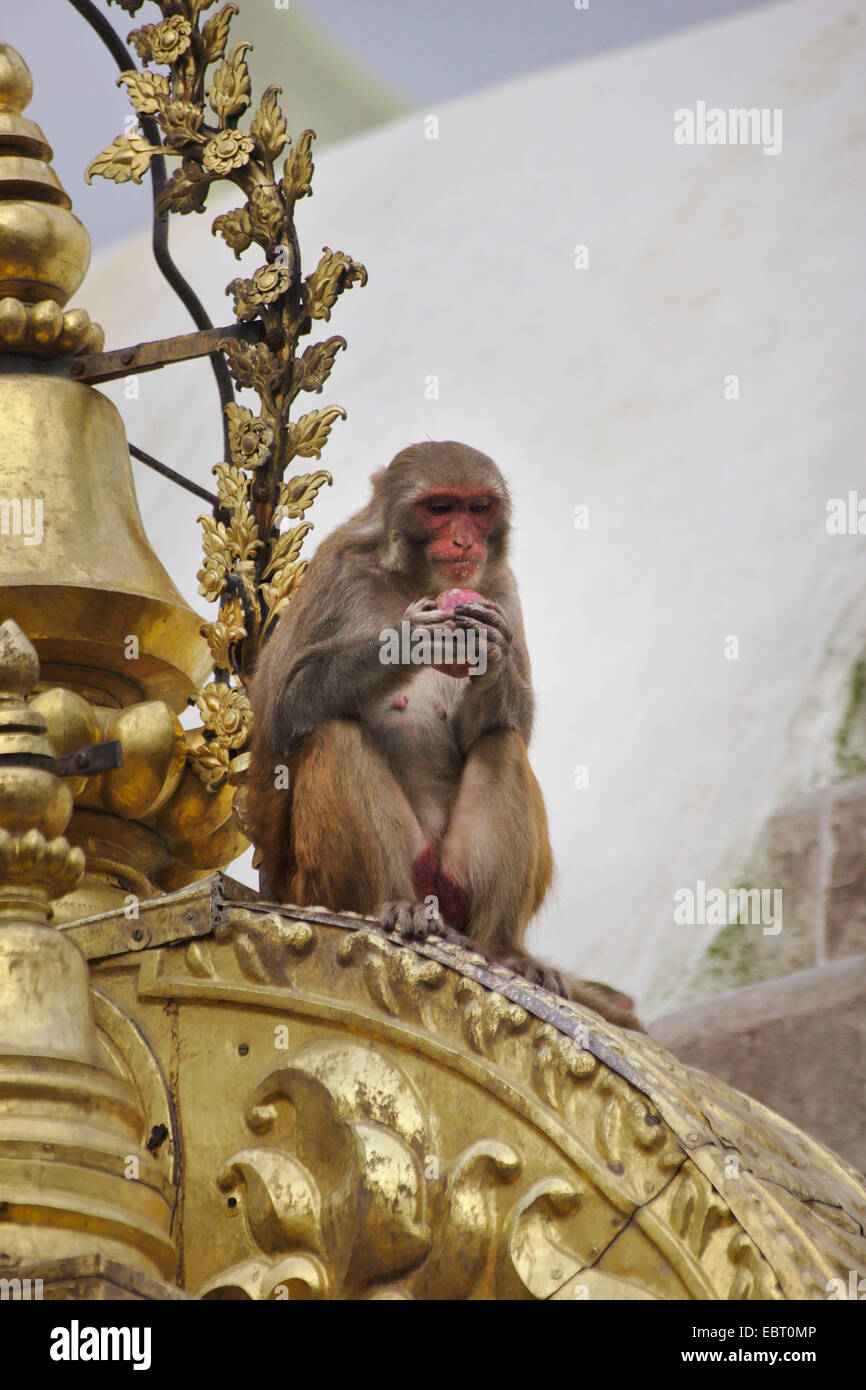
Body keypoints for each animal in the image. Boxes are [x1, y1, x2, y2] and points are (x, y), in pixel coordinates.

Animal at [244, 440, 641, 1030]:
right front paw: (408, 640)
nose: (463, 541)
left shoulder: (499, 586)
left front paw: (493, 659)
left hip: (454, 885)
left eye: (477, 508)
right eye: (438, 508)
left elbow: (503, 725)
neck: (416, 580)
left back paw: (502, 948)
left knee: (501, 742)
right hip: (323, 887)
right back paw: (393, 903)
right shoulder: (336, 570)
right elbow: (279, 707)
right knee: (334, 733)